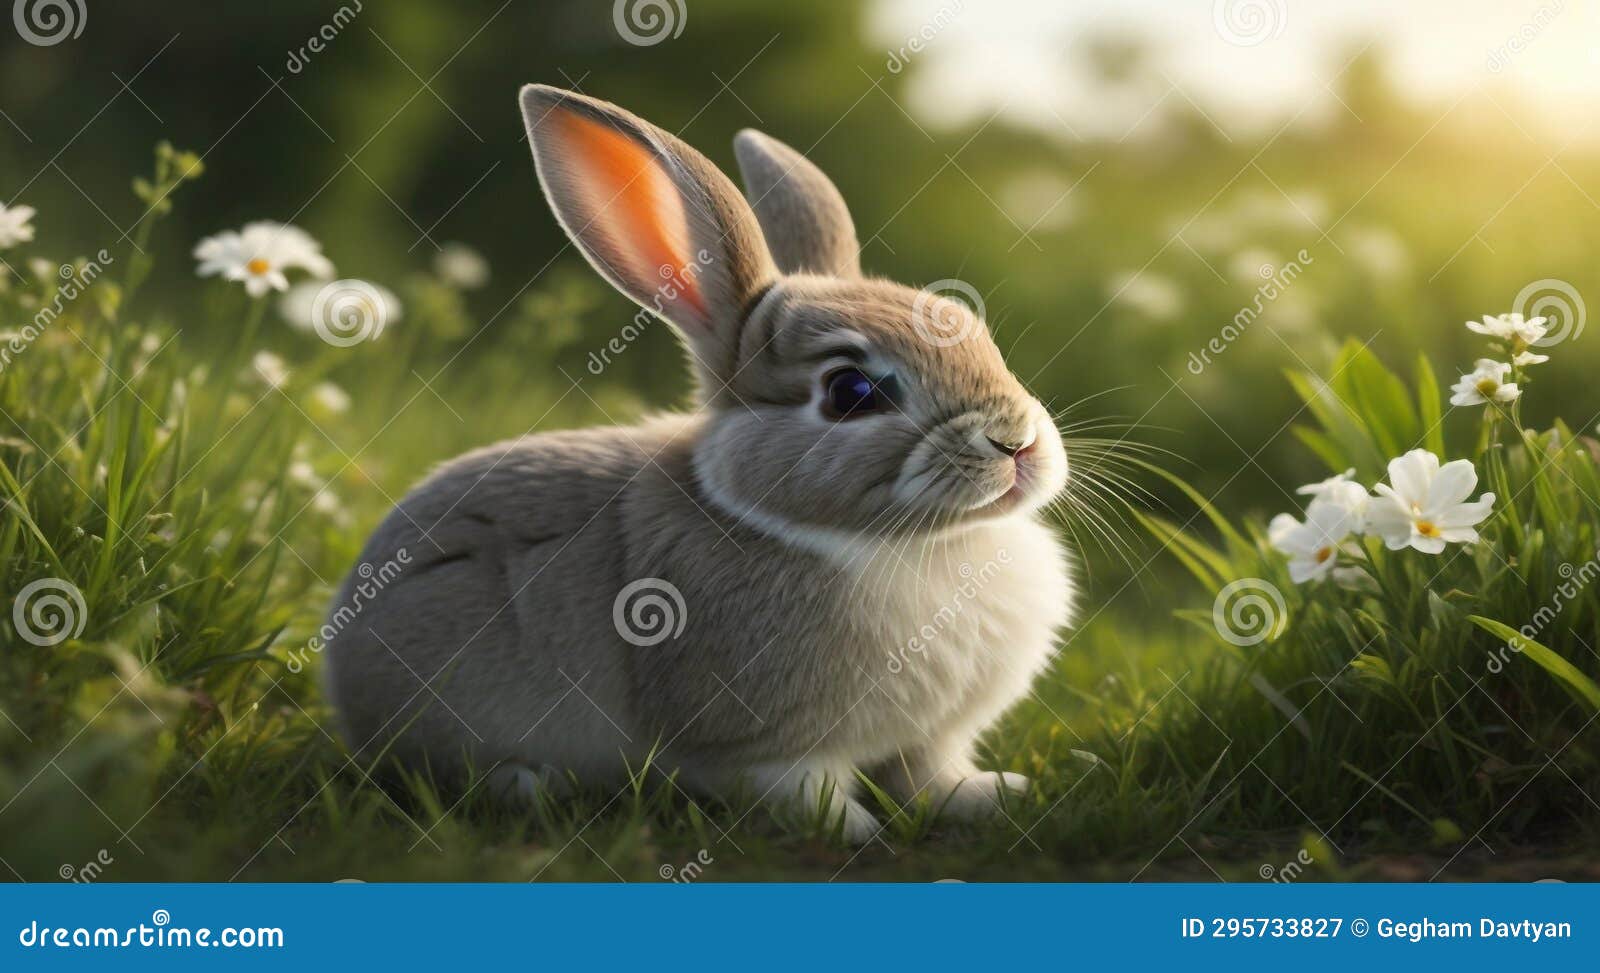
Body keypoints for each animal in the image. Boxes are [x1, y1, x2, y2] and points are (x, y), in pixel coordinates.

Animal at [320, 84, 1074, 844]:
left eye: (972, 327)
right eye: (851, 391)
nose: (1016, 443)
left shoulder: (929, 740)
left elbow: (928, 776)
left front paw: (992, 795)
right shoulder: (762, 748)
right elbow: (803, 789)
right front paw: (856, 830)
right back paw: (533, 787)